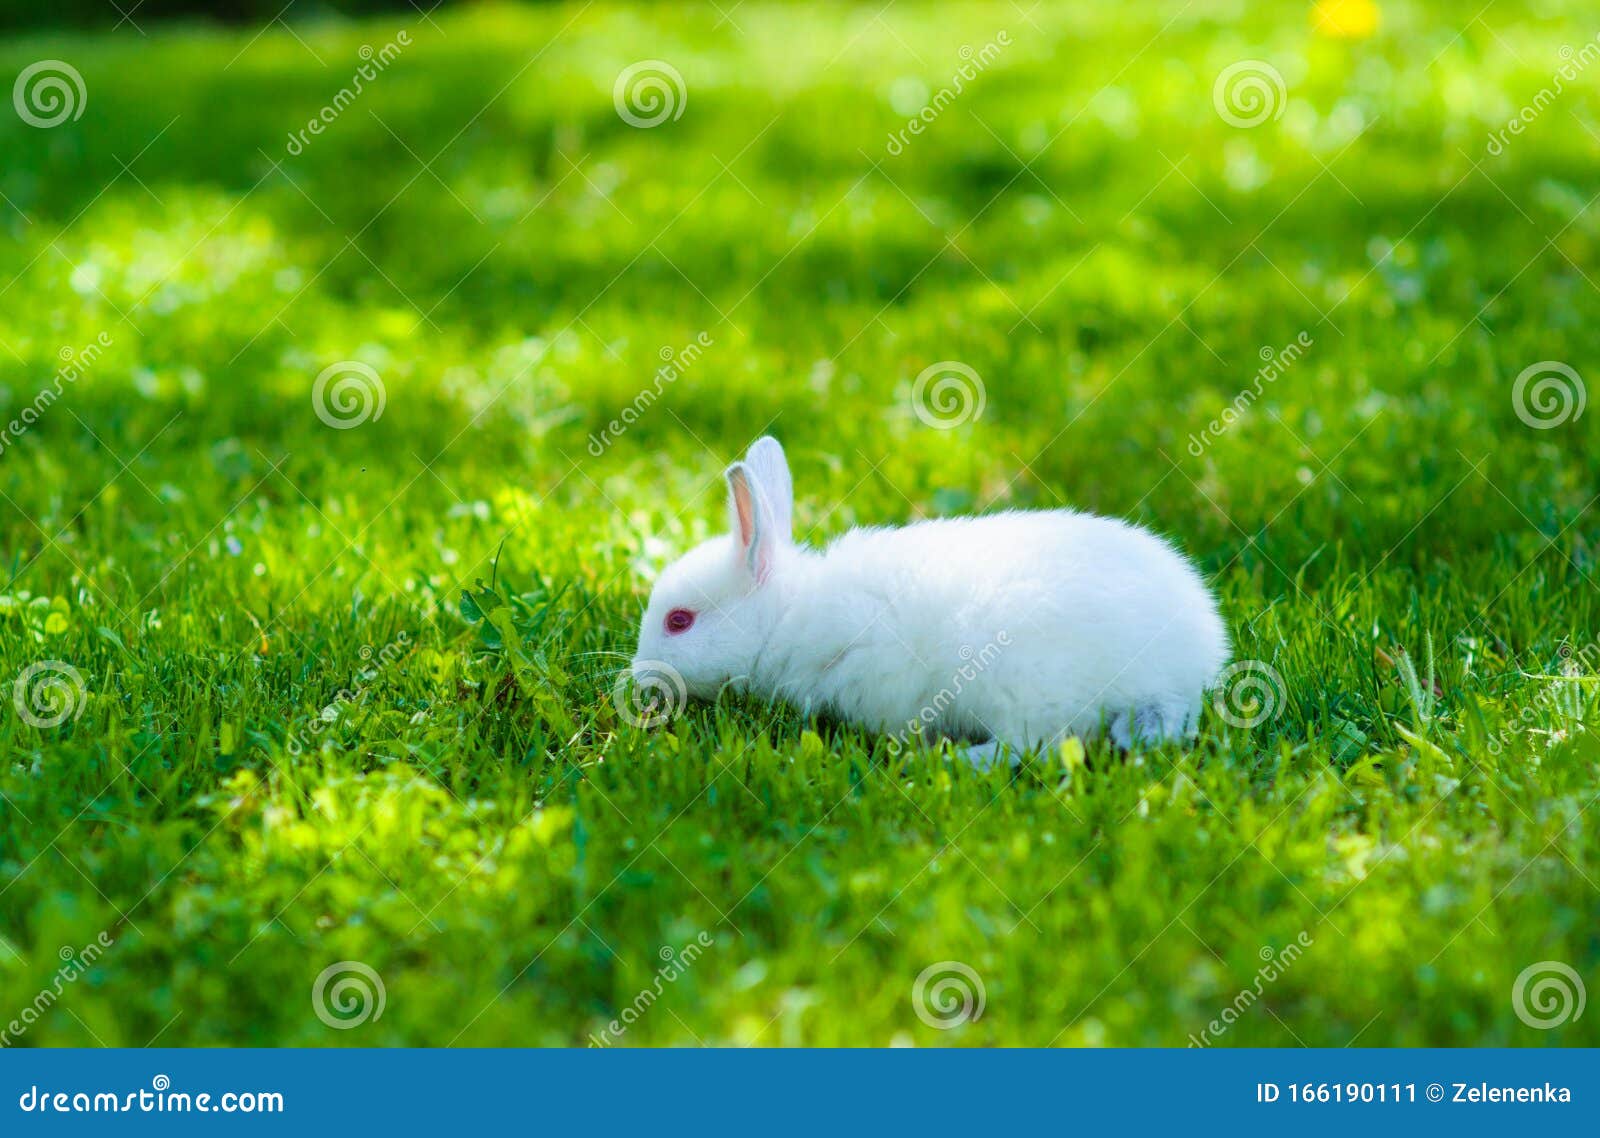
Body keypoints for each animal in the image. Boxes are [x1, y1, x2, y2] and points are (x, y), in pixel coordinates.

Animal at [631, 436, 1230, 767]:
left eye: (679, 621)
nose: (639, 677)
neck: (784, 618)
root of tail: (1181, 673)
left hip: (1024, 689)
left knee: (1037, 747)